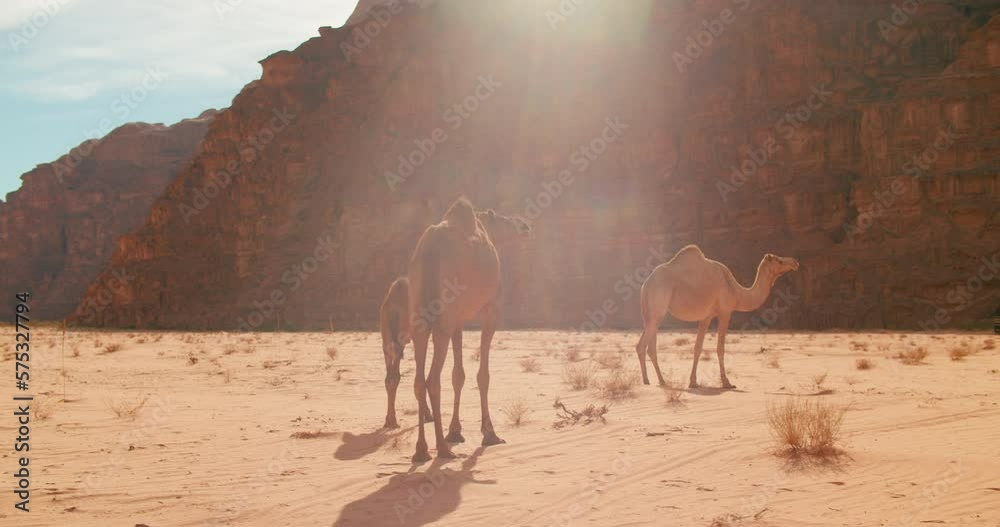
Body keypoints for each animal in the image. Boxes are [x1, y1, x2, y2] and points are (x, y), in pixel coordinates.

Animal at [379, 202, 530, 462]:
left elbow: (458, 375)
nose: (524, 225)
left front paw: (456, 431)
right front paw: (489, 434)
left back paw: (421, 450)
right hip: (442, 317)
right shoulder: (491, 309)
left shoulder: (458, 319)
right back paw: (442, 449)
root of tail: (430, 251)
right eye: (503, 219)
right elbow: (482, 375)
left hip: (420, 318)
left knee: (415, 379)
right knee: (431, 379)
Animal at [635, 245, 799, 389]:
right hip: (657, 306)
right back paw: (652, 380)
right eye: (779, 260)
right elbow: (720, 348)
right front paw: (727, 383)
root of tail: (645, 285)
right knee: (642, 346)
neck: (737, 292)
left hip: (649, 315)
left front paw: (693, 382)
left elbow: (698, 347)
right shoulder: (725, 312)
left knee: (650, 345)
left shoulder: (706, 317)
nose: (795, 262)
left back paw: (656, 380)